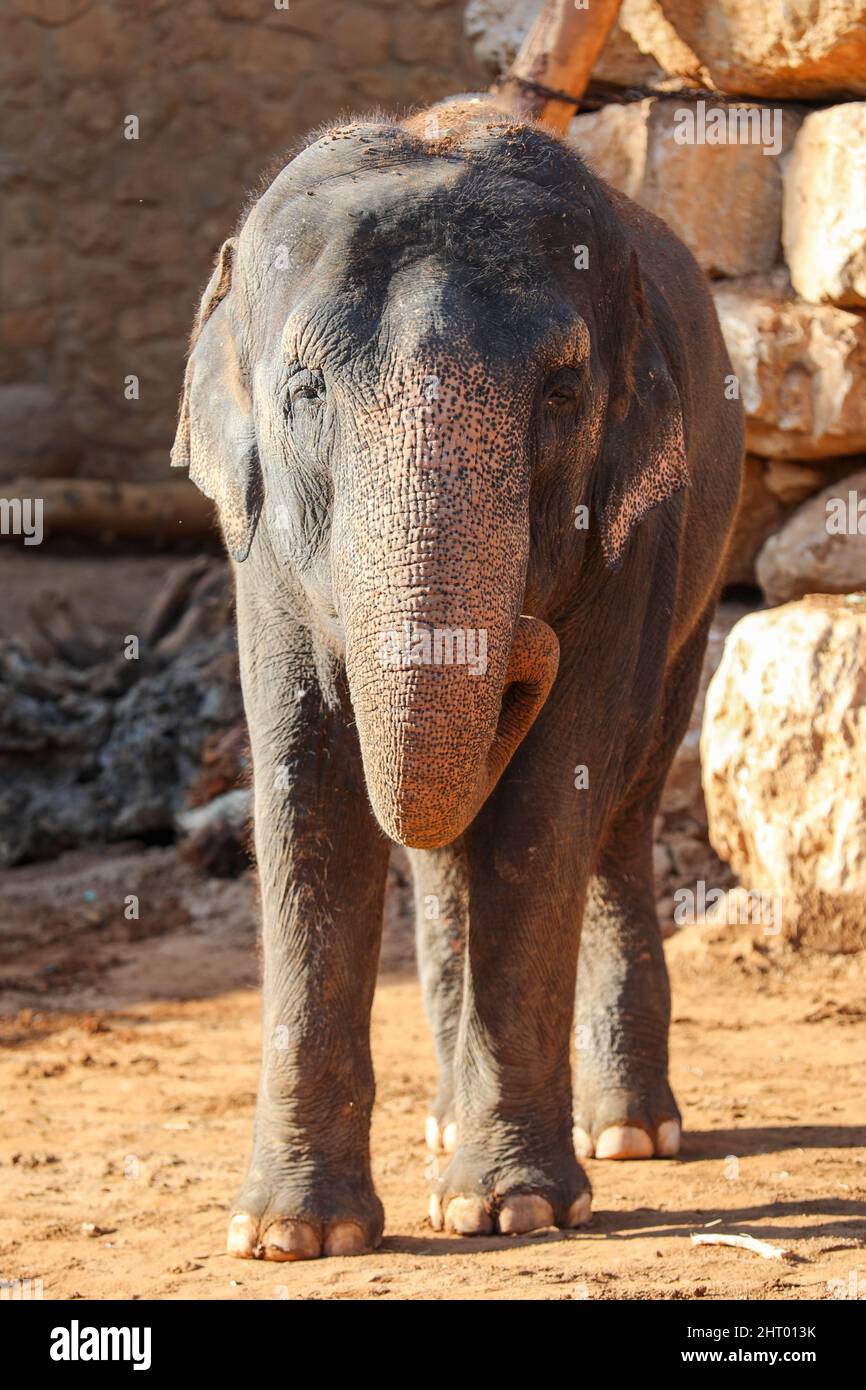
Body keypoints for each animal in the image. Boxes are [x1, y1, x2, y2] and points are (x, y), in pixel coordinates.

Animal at [172, 97, 743, 1258]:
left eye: (564, 392)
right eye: (304, 389)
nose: (524, 646)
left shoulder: (641, 535)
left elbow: (545, 804)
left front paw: (513, 1211)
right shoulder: (259, 550)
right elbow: (306, 788)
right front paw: (289, 1238)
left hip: (701, 579)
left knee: (622, 804)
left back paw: (629, 1134)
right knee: (444, 851)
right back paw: (445, 1122)